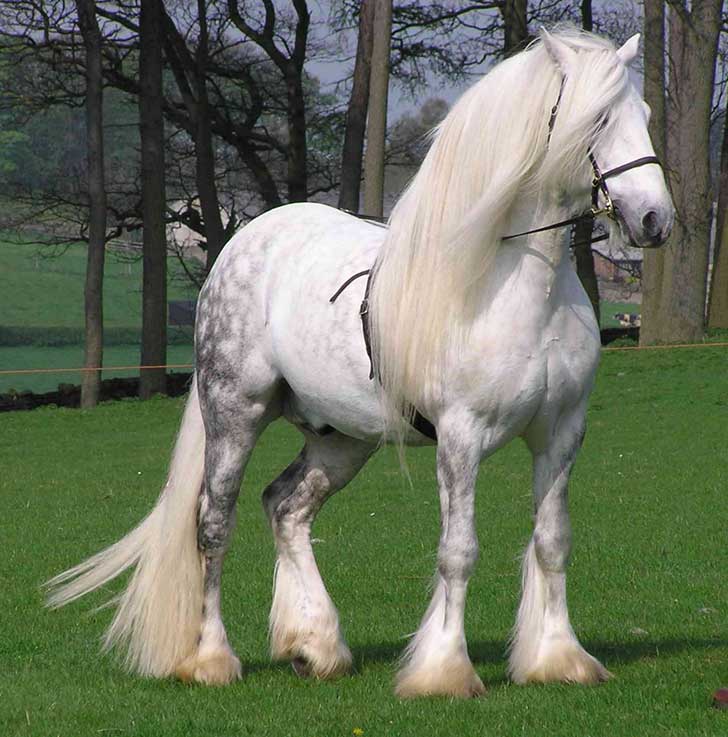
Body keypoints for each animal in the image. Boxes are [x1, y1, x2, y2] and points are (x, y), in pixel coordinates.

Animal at [46, 28, 674, 698]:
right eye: (597, 119)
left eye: (645, 115)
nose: (655, 219)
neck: (515, 284)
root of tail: (242, 244)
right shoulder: (461, 436)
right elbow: (458, 551)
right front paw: (444, 670)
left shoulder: (560, 433)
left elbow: (552, 543)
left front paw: (558, 658)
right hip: (235, 414)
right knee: (214, 524)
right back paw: (212, 658)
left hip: (341, 439)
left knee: (286, 507)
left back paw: (315, 645)